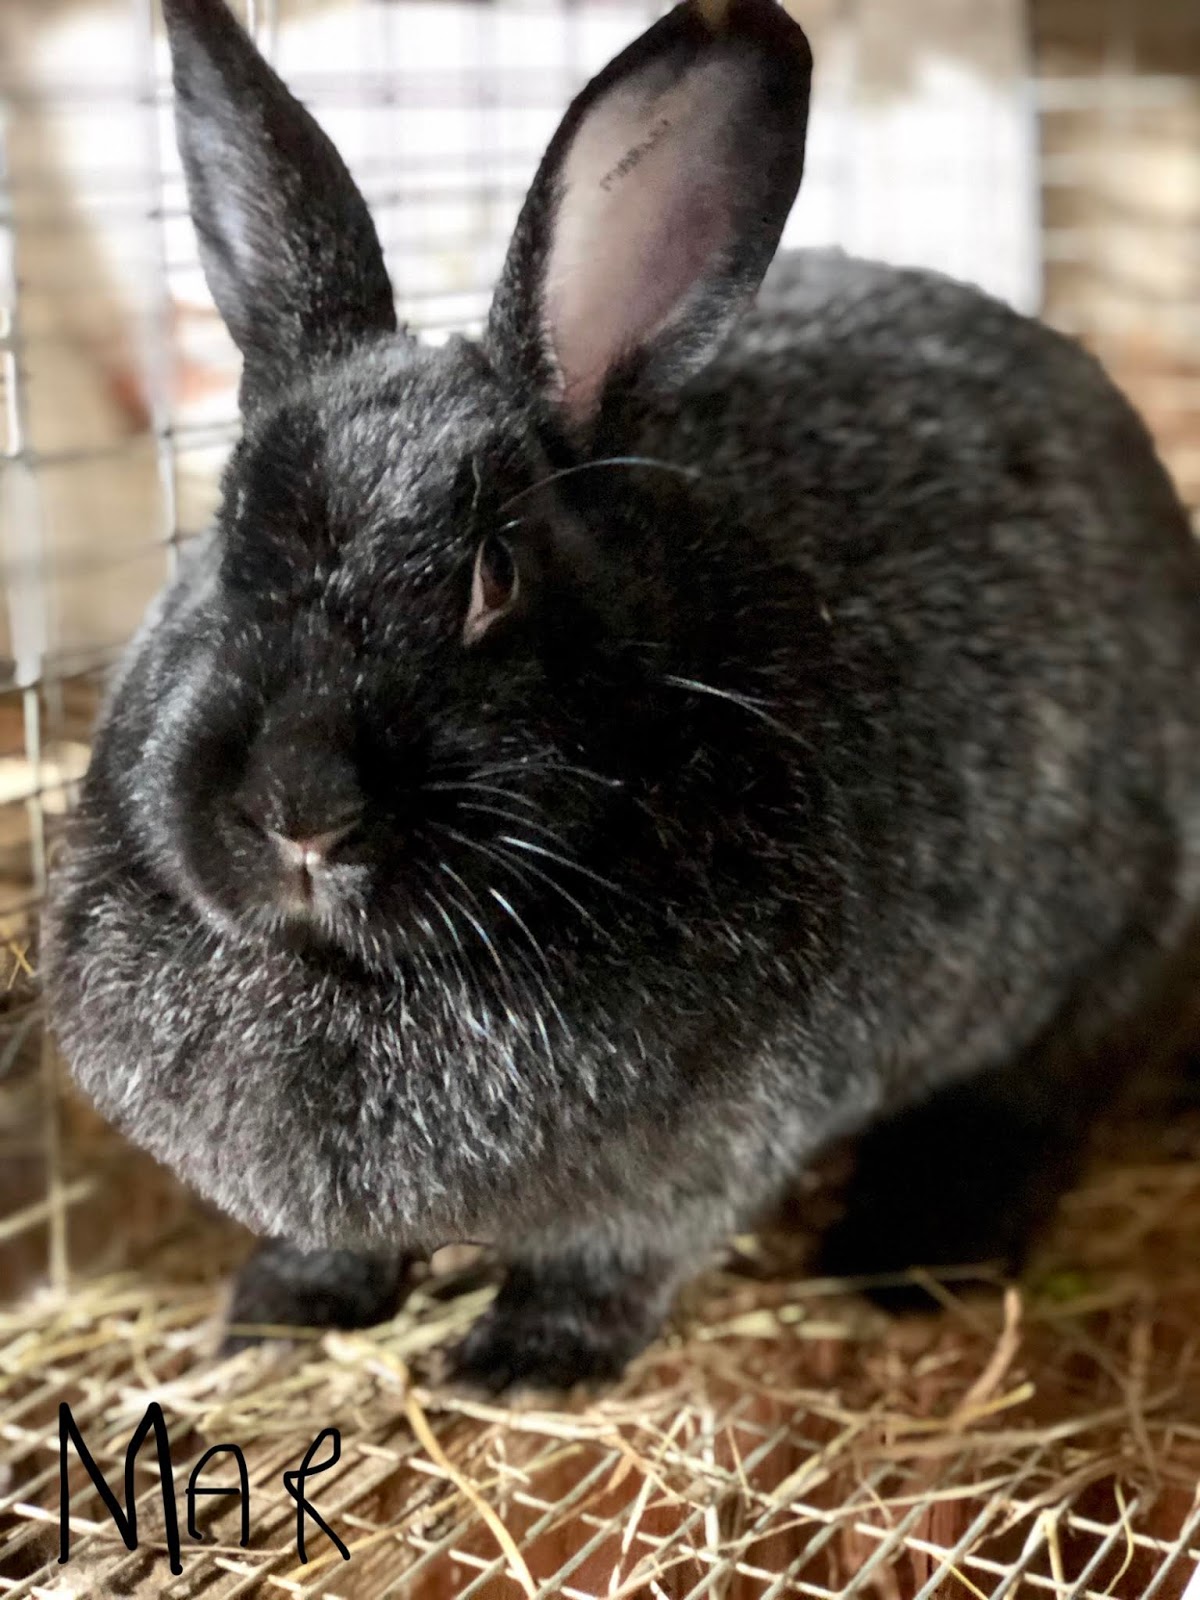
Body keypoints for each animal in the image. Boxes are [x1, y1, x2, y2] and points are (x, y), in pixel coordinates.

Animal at [43, 0, 1200, 1392]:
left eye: (496, 575)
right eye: (220, 542)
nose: (299, 810)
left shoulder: (708, 1158)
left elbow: (609, 1261)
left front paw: (519, 1361)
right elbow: (338, 1246)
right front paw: (282, 1310)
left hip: (1099, 971)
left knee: (1023, 1116)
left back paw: (903, 1257)